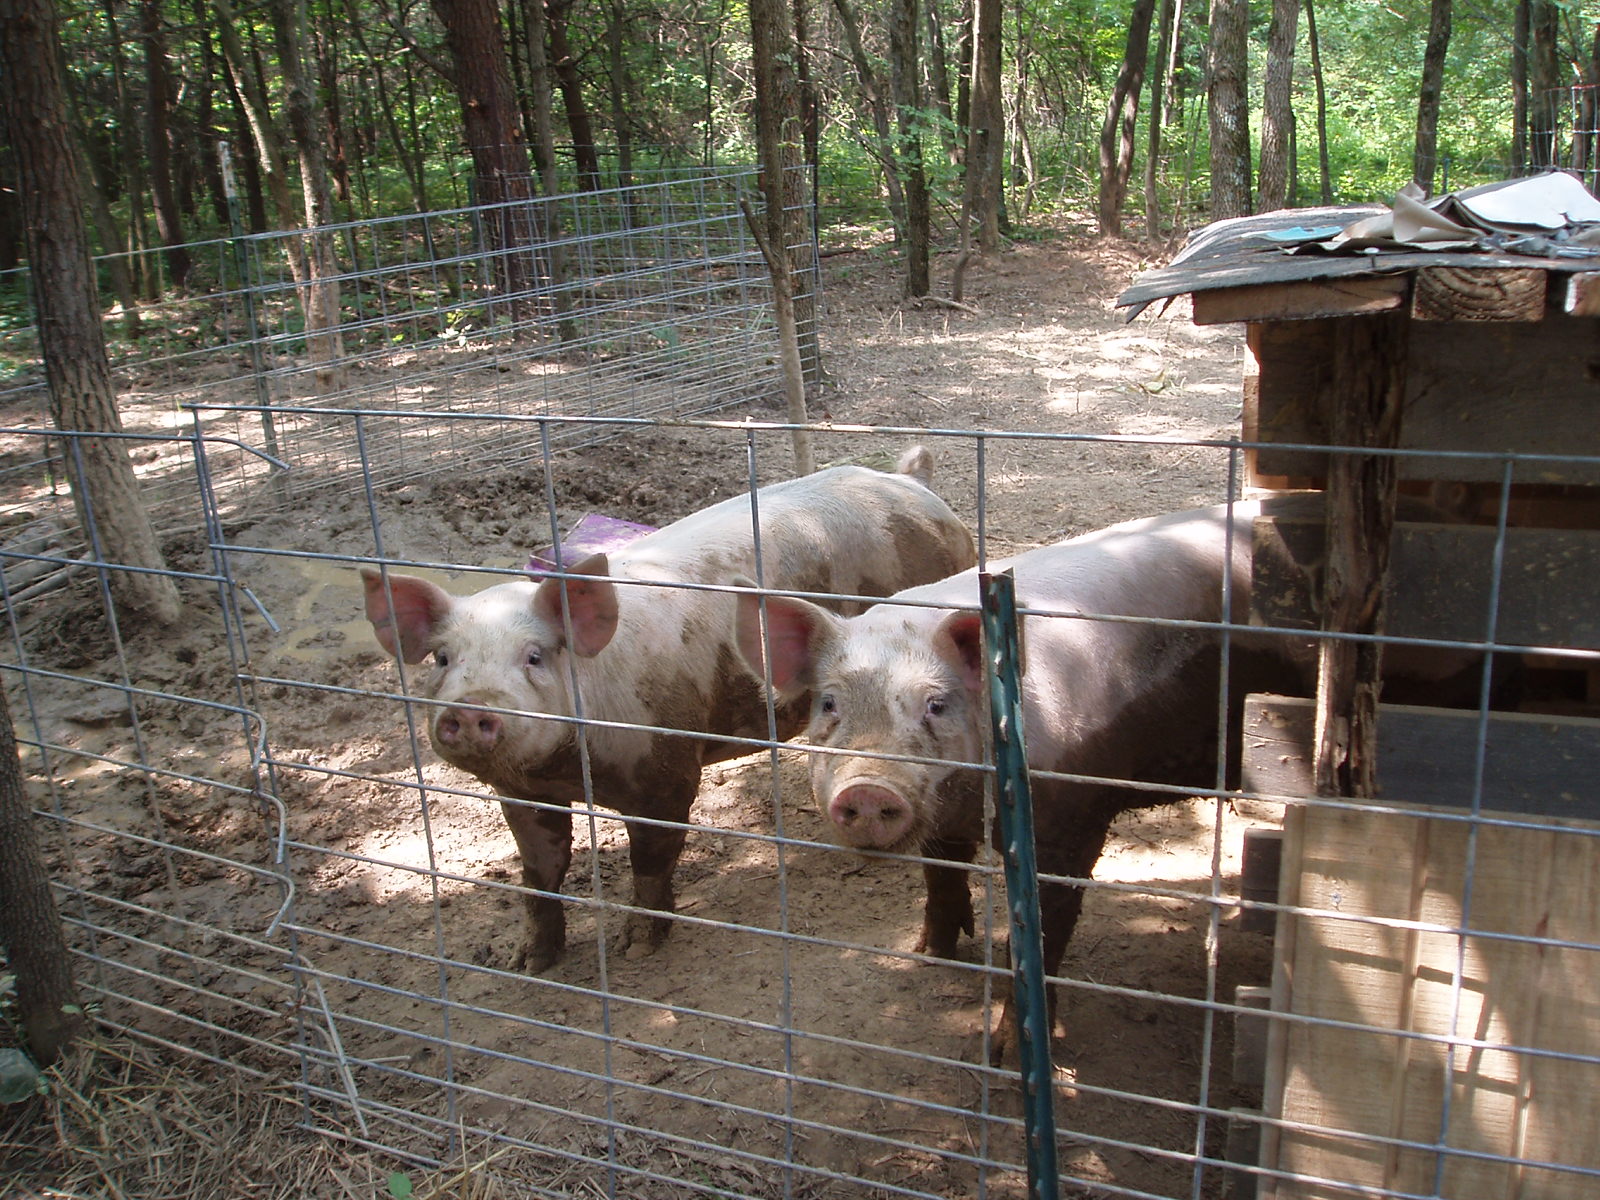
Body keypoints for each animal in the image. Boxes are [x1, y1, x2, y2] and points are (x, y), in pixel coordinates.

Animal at [361, 446, 976, 973]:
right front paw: (528, 963)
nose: (470, 708)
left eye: (534, 656)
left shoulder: (667, 768)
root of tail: (912, 483)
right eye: (442, 658)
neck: (573, 768)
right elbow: (540, 872)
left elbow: (651, 861)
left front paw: (636, 949)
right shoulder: (521, 790)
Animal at [734, 500, 1318, 1056]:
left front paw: (1010, 1054)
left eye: (936, 705)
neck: (977, 804)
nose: (869, 787)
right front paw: (928, 956)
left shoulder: (1069, 821)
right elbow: (940, 875)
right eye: (829, 704)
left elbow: (1040, 937)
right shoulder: (941, 817)